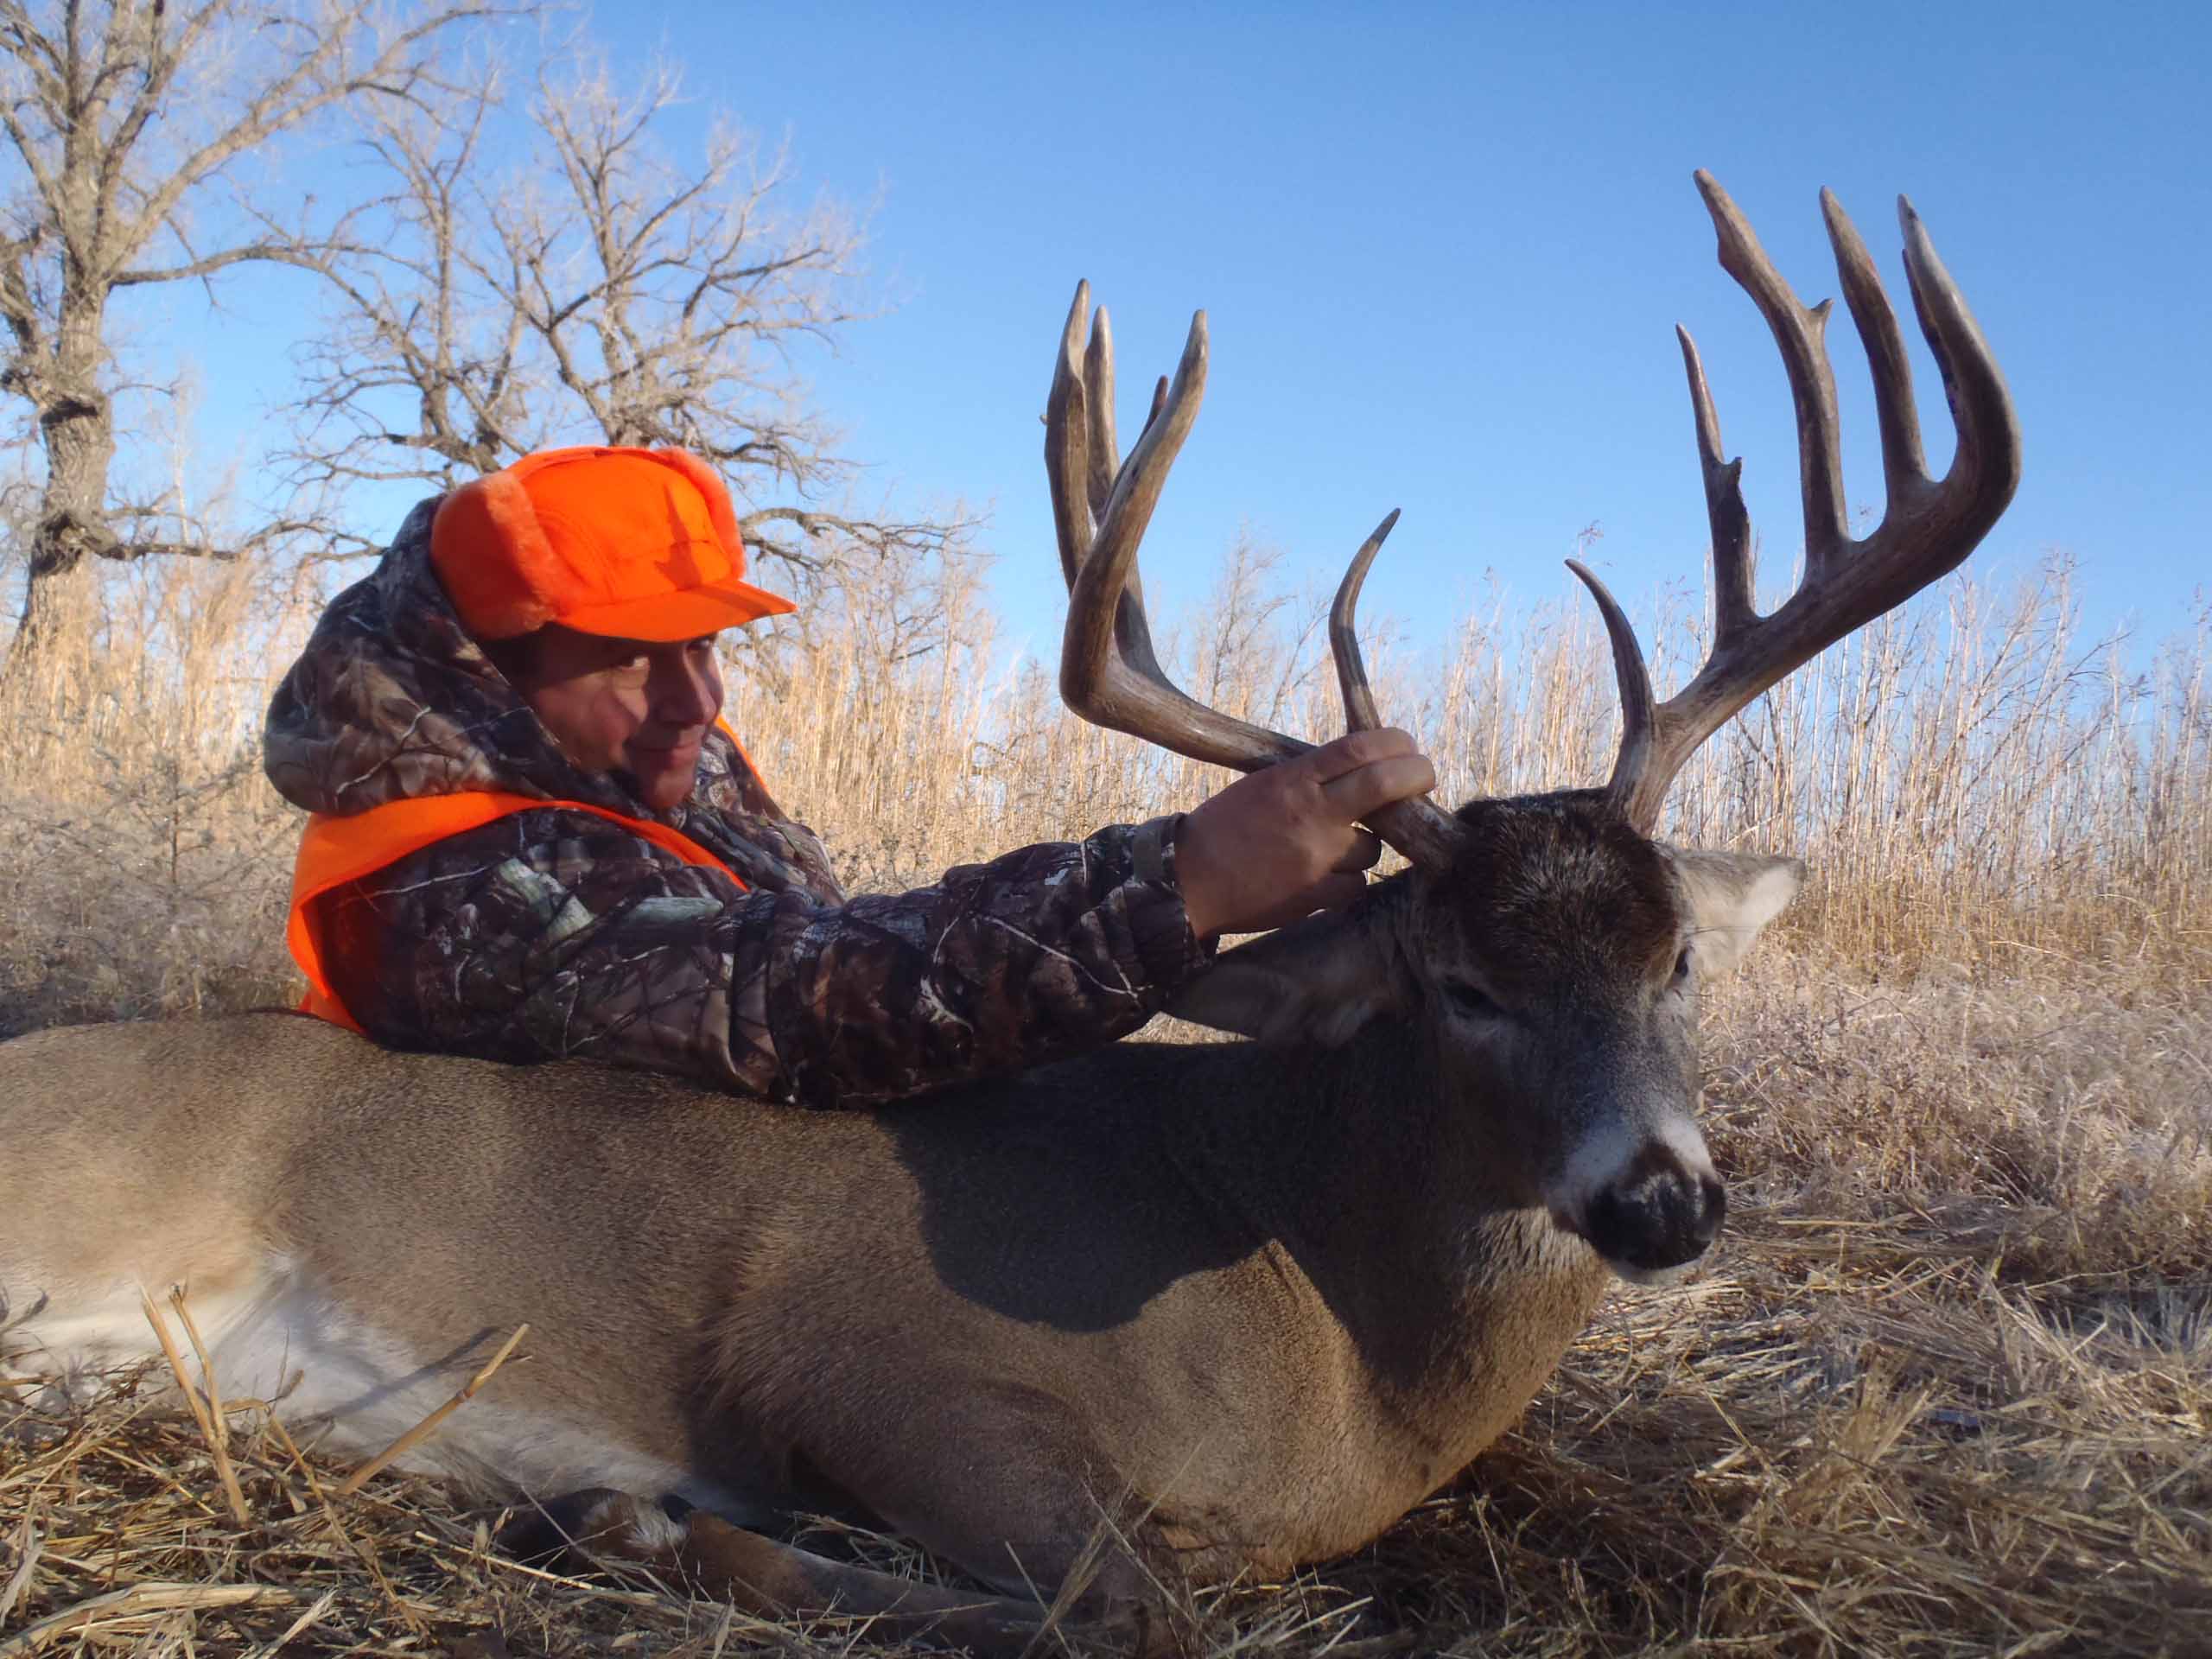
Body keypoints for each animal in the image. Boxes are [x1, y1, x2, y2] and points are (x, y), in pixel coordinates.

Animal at [0, 172, 2017, 1654]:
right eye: (1458, 982)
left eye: (1675, 960)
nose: (1659, 1198)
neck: (1335, 1336)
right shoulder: (877, 1362)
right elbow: (1112, 1614)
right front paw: (641, 1525)